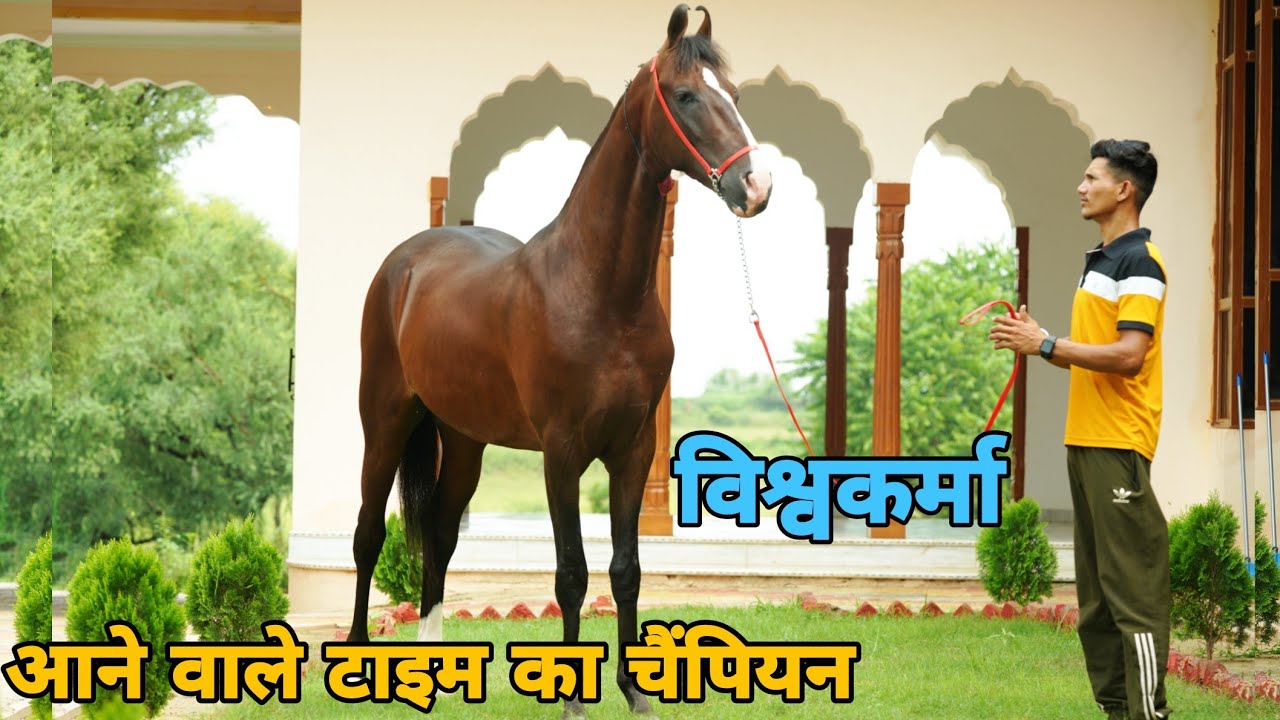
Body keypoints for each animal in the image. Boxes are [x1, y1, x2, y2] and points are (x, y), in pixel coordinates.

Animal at [347, 4, 771, 715]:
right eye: (686, 95)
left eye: (735, 97)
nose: (756, 186)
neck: (602, 294)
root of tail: (404, 264)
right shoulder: (562, 451)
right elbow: (571, 571)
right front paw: (574, 697)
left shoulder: (632, 451)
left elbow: (626, 572)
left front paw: (633, 691)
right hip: (385, 425)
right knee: (368, 535)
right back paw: (352, 656)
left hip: (465, 441)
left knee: (439, 533)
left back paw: (434, 664)